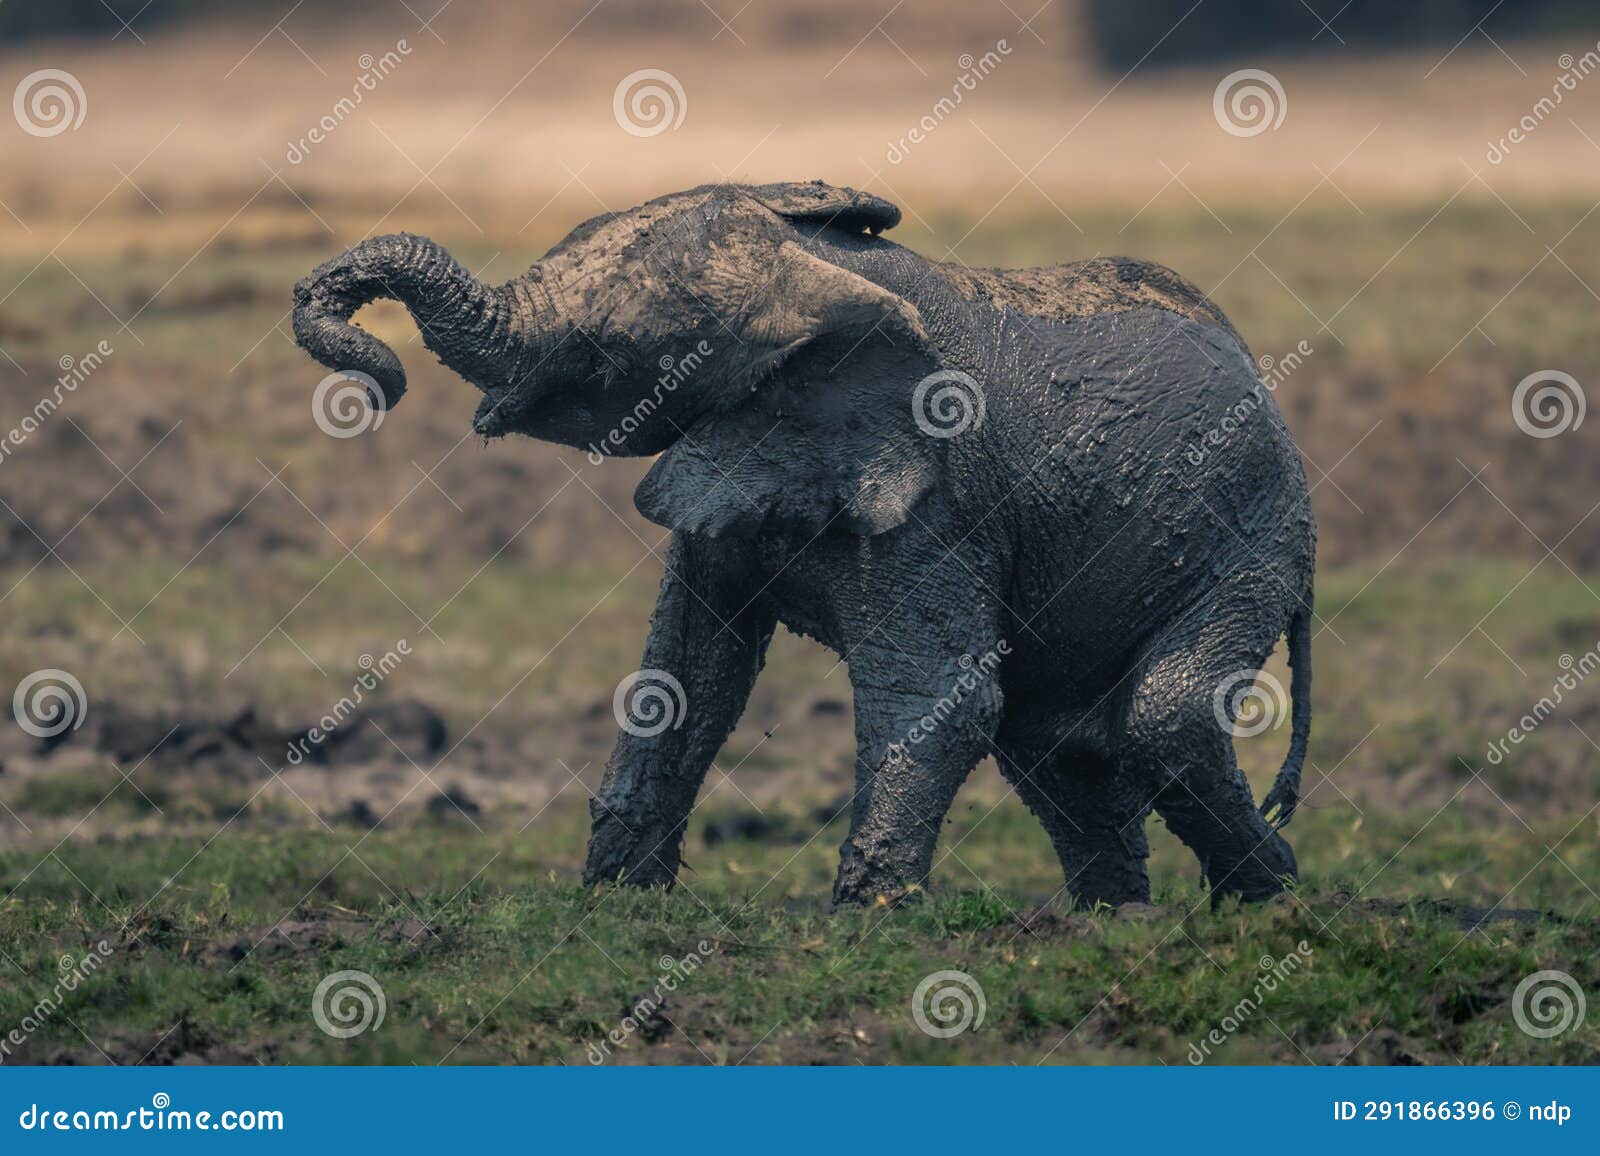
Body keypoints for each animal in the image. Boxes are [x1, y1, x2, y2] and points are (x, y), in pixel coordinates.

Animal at [292, 179, 1315, 909]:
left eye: (607, 350)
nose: (377, 378)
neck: (817, 280)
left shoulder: (936, 492)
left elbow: (938, 694)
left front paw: (866, 919)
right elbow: (688, 680)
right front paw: (614, 906)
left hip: (1255, 536)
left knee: (1163, 716)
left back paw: (1271, 905)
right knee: (1055, 747)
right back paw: (1116, 920)